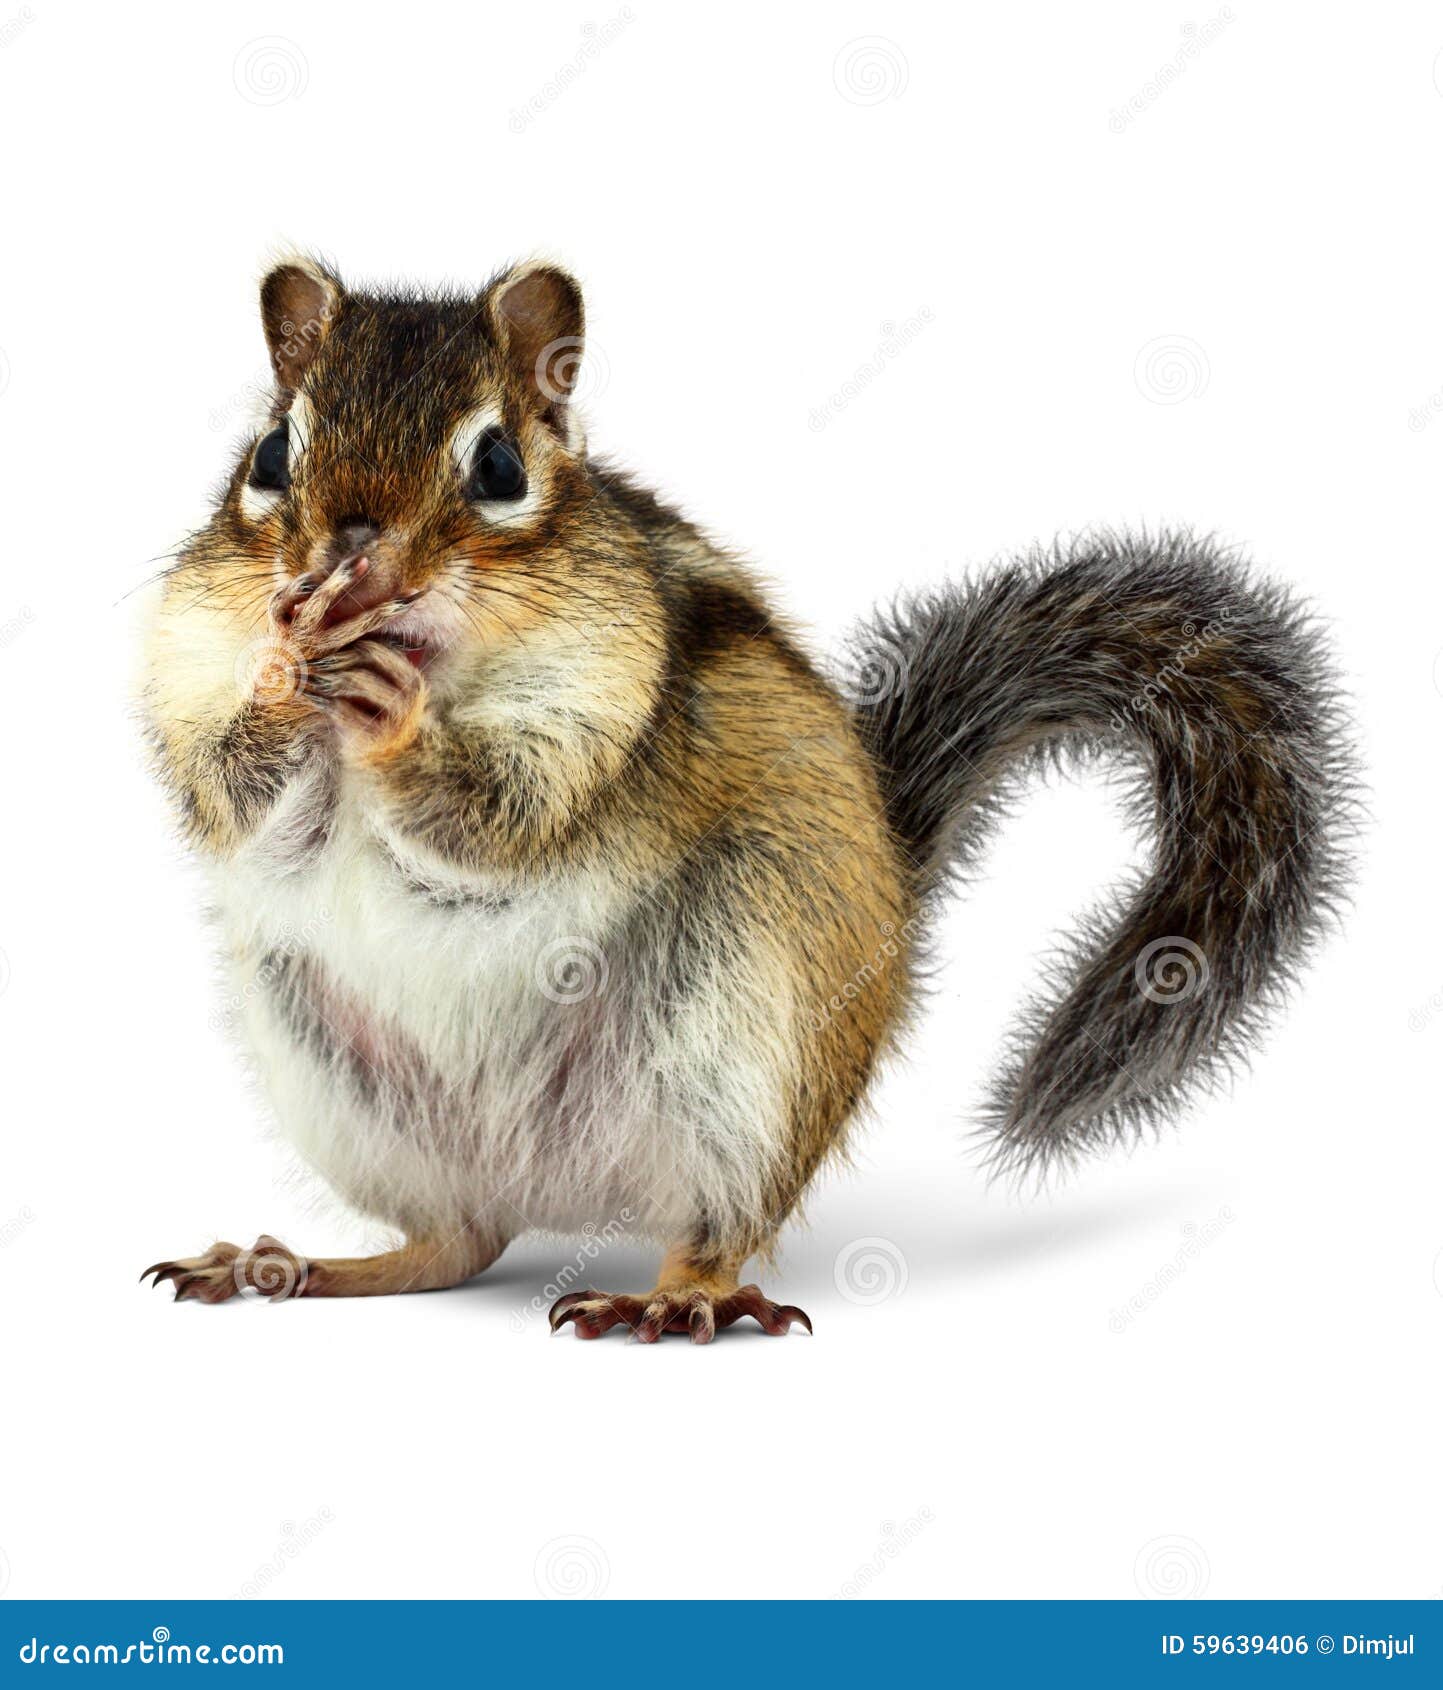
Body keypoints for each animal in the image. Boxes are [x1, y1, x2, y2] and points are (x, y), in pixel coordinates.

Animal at [140, 254, 1357, 1341]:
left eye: (497, 467)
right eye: (272, 452)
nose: (355, 563)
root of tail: (552, 1188)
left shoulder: (604, 702)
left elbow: (499, 815)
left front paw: (393, 715)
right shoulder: (190, 665)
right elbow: (224, 786)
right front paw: (285, 670)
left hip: (743, 1038)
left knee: (711, 1227)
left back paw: (676, 1298)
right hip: (332, 1069)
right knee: (451, 1244)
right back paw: (286, 1266)